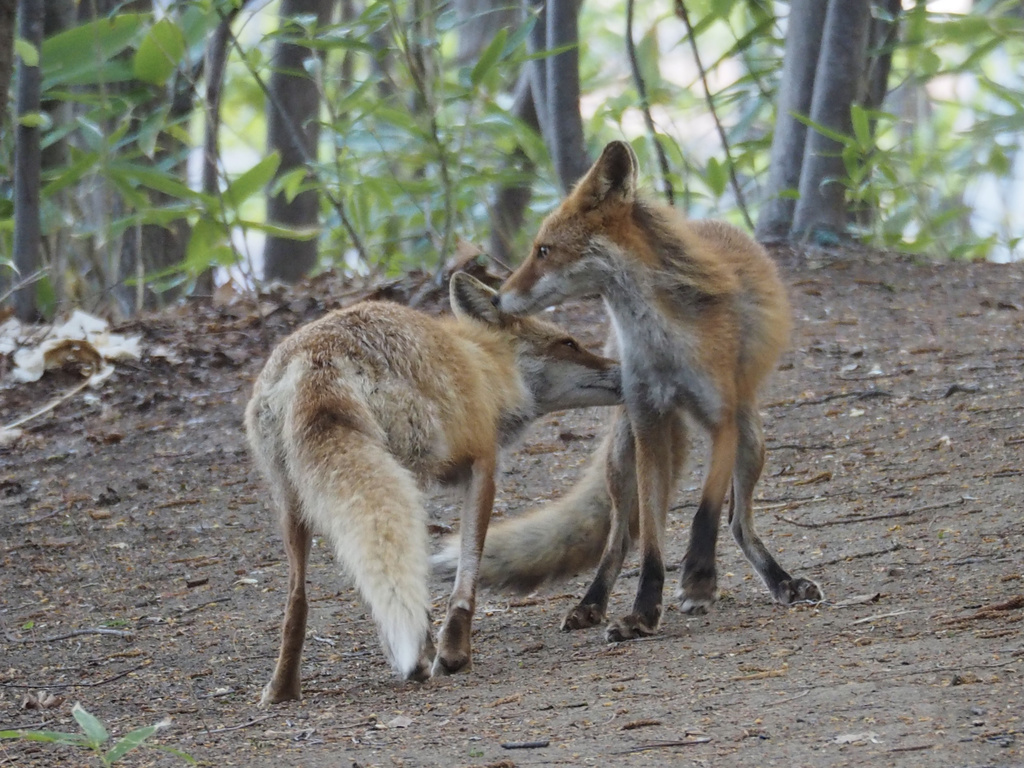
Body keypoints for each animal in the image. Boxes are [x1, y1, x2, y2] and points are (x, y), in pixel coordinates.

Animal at [245, 272, 621, 705]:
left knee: (298, 599)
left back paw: (283, 686)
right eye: (569, 344)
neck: (482, 365)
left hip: (293, 499)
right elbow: (466, 574)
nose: (623, 367)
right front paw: (455, 653)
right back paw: (418, 657)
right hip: (404, 473)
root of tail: (316, 355)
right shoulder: (484, 465)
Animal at [435, 141, 822, 642]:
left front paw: (698, 579)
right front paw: (643, 611)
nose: (499, 299)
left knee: (738, 522)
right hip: (622, 453)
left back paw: (781, 581)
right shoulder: (647, 423)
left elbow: (704, 512)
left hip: (751, 438)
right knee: (620, 535)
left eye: (544, 250)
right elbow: (650, 542)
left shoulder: (721, 420)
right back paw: (591, 603)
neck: (662, 347)